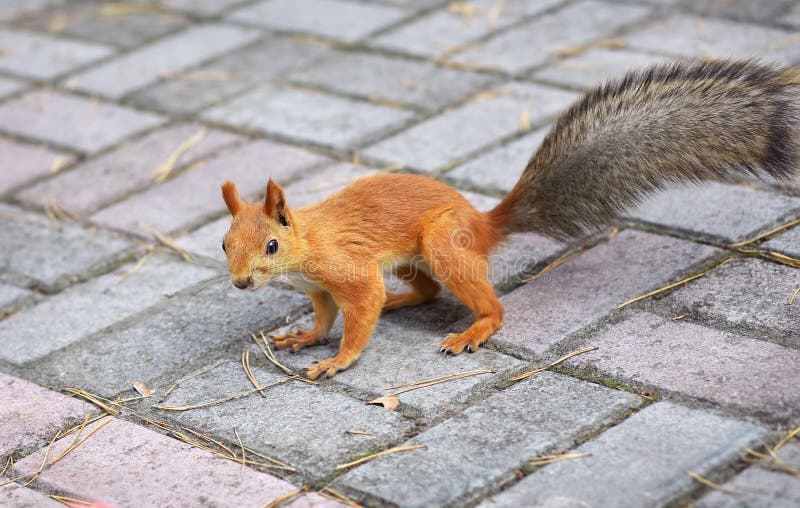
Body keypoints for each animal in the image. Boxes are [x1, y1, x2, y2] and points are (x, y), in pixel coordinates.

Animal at [220, 59, 799, 380]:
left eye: (271, 245)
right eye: (224, 244)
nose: (241, 283)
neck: (306, 243)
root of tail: (484, 222)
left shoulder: (346, 271)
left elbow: (359, 311)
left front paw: (338, 360)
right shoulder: (317, 289)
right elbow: (324, 317)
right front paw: (305, 339)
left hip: (442, 241)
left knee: (487, 305)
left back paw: (472, 328)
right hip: (417, 256)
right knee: (427, 291)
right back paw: (404, 301)